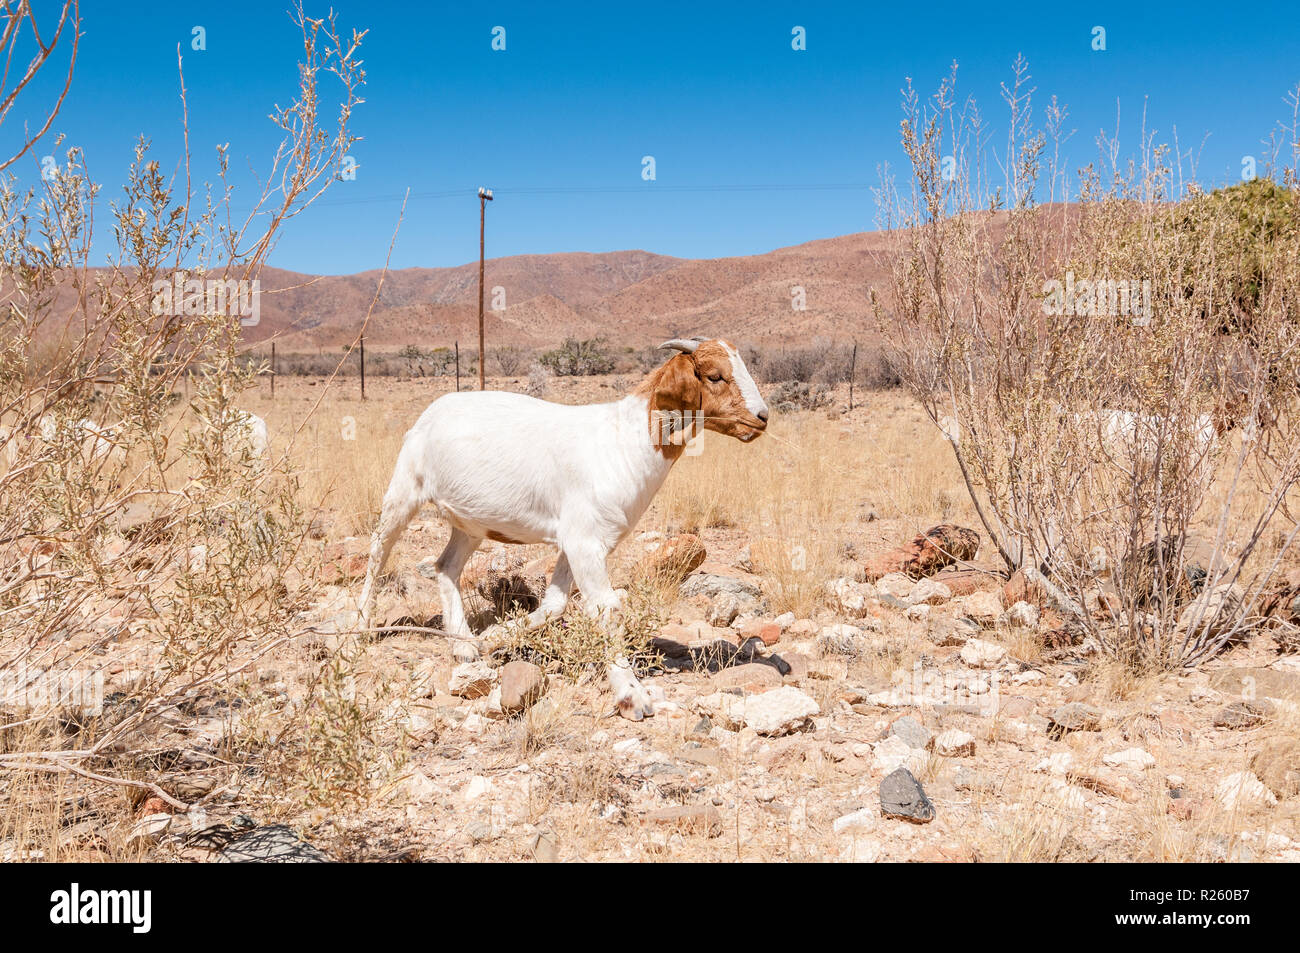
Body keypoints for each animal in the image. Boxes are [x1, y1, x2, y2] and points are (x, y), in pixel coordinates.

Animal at [359, 337, 770, 719]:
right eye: (714, 375)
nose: (762, 416)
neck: (624, 442)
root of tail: (432, 410)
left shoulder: (578, 542)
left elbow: (555, 604)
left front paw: (495, 636)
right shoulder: (584, 541)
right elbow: (607, 609)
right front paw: (631, 695)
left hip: (470, 523)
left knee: (446, 566)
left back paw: (462, 644)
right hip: (404, 490)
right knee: (378, 551)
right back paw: (361, 625)